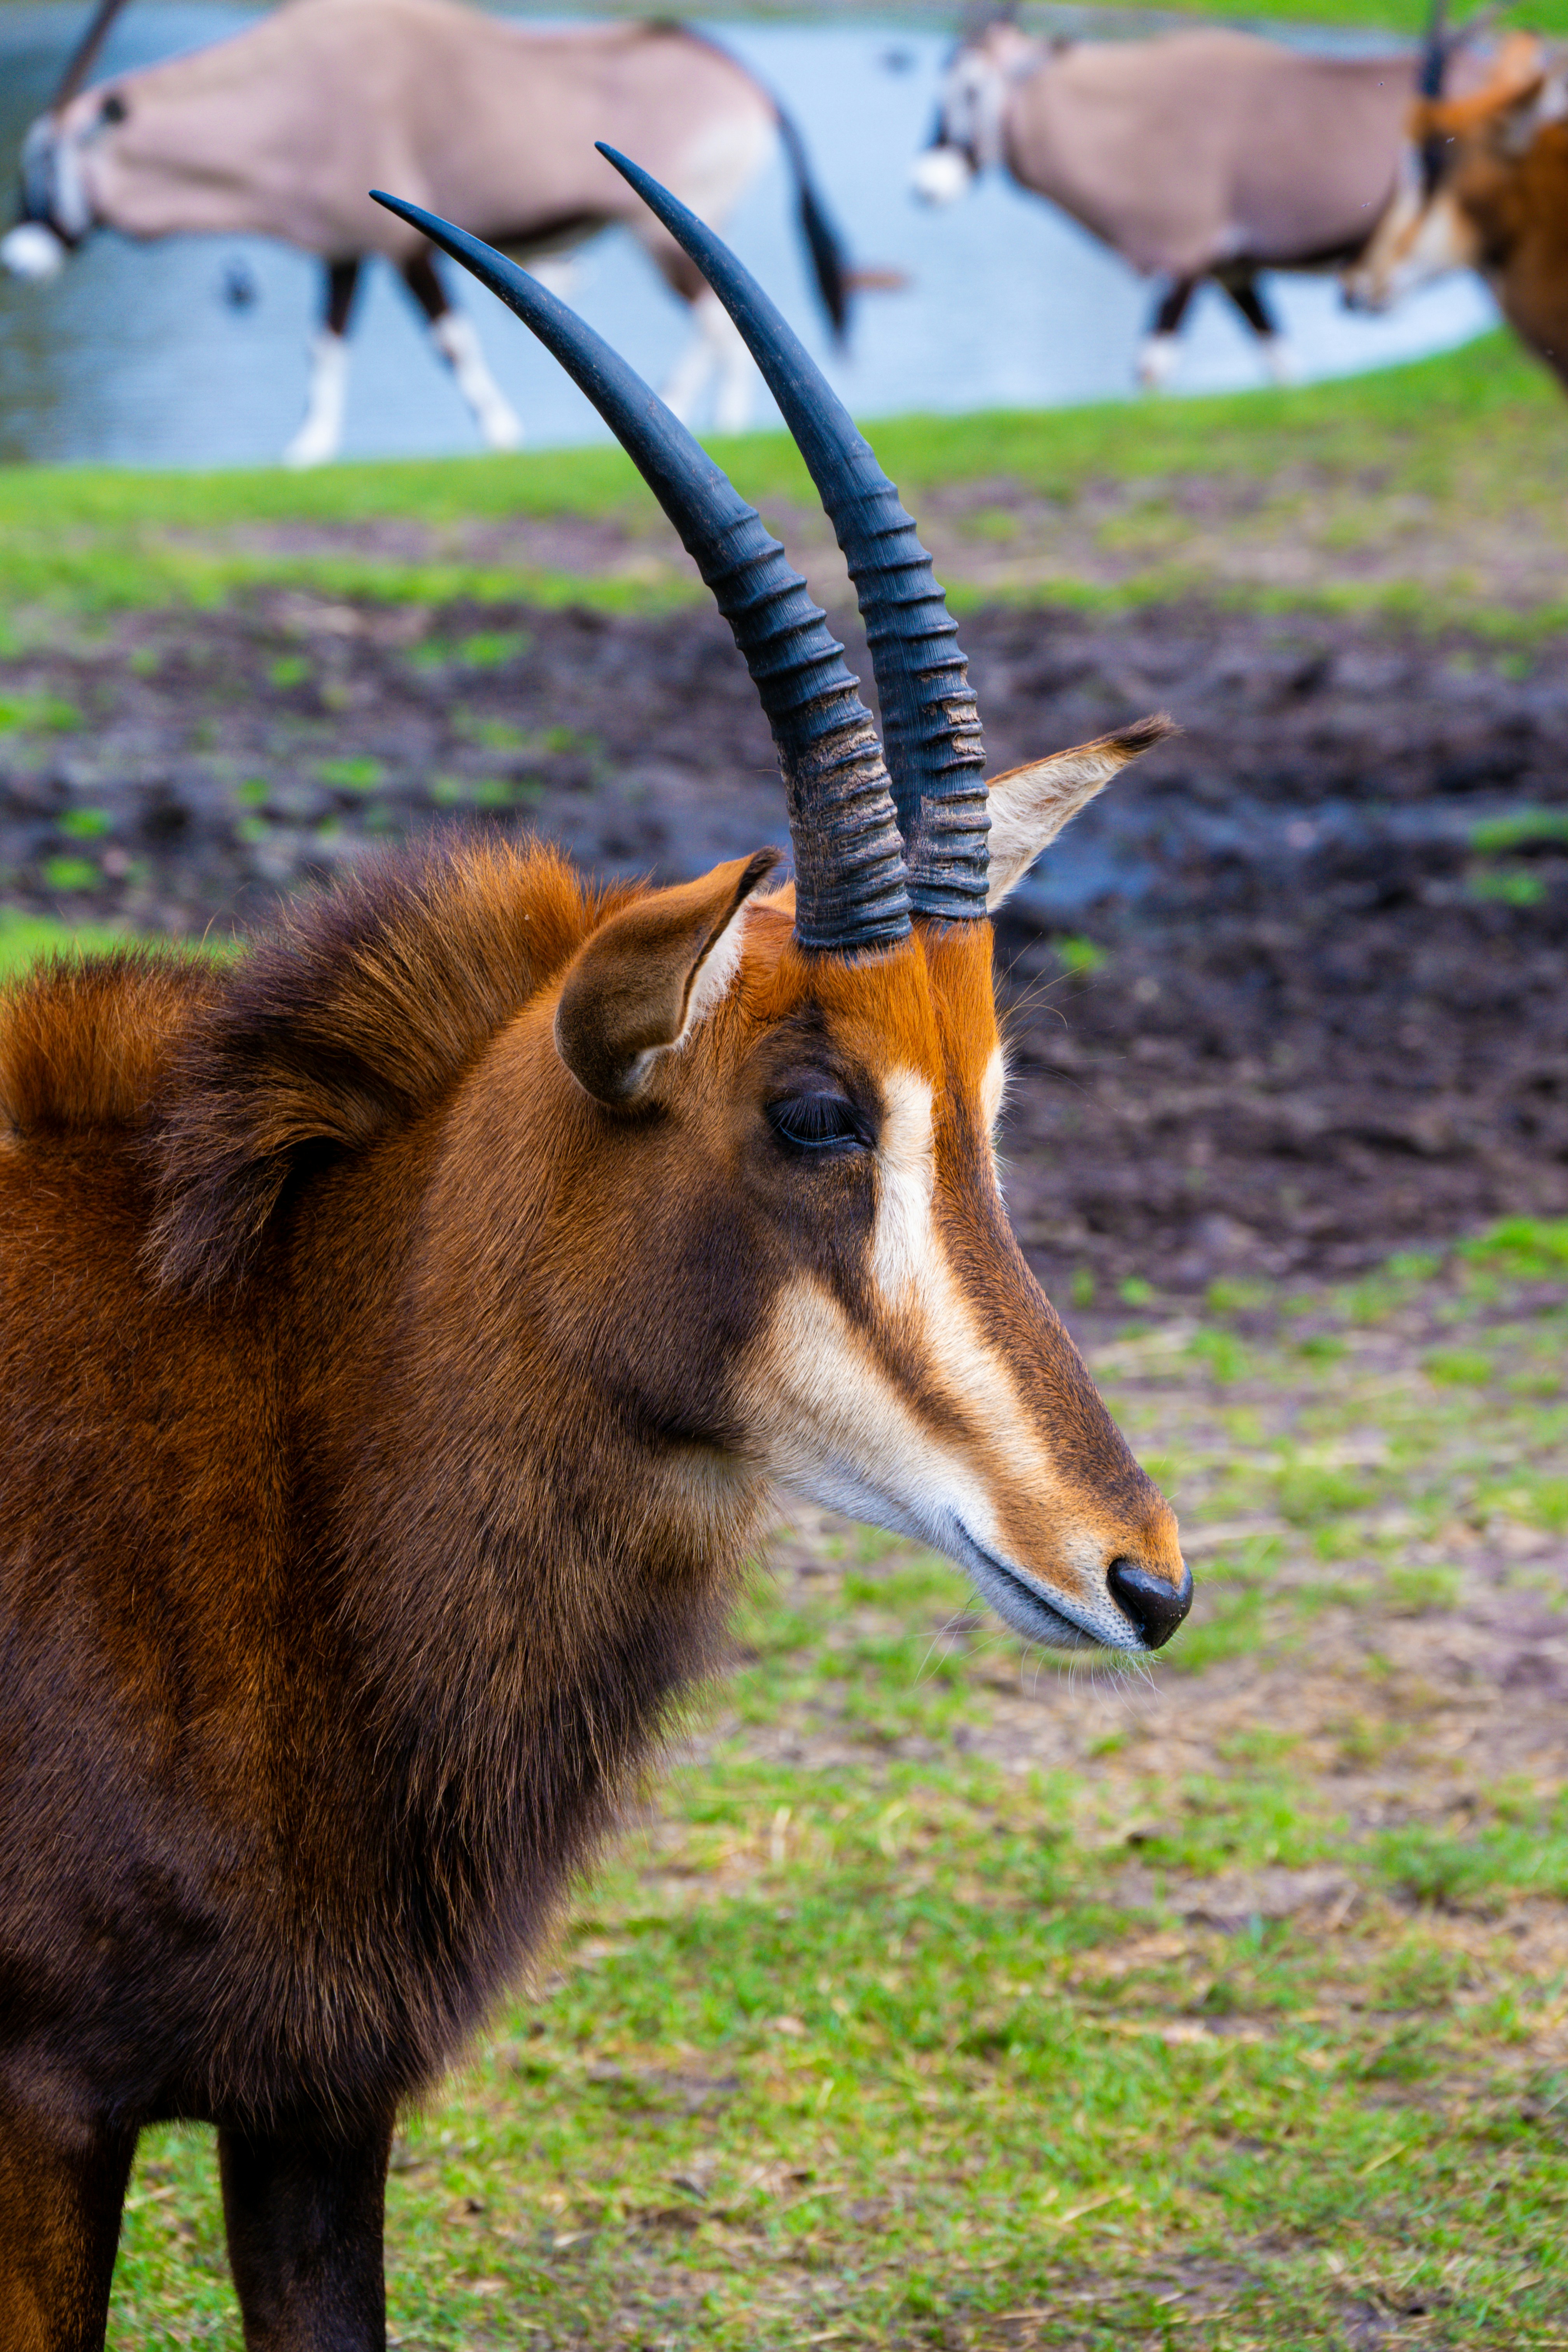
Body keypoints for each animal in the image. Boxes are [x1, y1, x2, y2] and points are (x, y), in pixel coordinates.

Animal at [0, 166, 1189, 2345]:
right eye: (811, 1110)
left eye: (991, 1094)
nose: (1133, 1574)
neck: (269, 1419)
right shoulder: (44, 2100)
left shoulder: (316, 2098)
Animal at [1, 0, 850, 464]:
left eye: (44, 165)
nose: (16, 261)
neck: (297, 89)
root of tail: (745, 78)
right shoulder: (344, 249)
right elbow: (325, 345)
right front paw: (306, 452)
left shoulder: (403, 246)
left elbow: (450, 341)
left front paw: (502, 438)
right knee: (723, 325)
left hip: (658, 231)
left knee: (713, 322)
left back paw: (695, 415)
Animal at [911, 14, 1462, 388]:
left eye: (971, 88)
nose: (924, 184)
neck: (1138, 117)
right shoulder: (1233, 271)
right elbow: (1283, 366)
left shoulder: (1185, 266)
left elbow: (1151, 371)